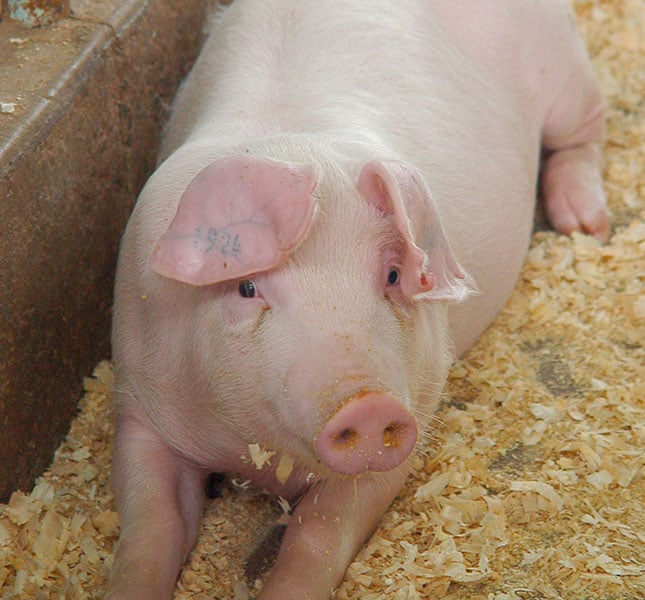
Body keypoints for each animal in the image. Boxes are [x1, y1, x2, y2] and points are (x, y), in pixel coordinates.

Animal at [106, 1, 608, 598]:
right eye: (248, 287)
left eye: (391, 275)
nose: (368, 404)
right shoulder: (139, 400)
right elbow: (150, 529)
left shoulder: (416, 404)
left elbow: (318, 535)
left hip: (564, 70)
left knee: (586, 128)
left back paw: (587, 224)